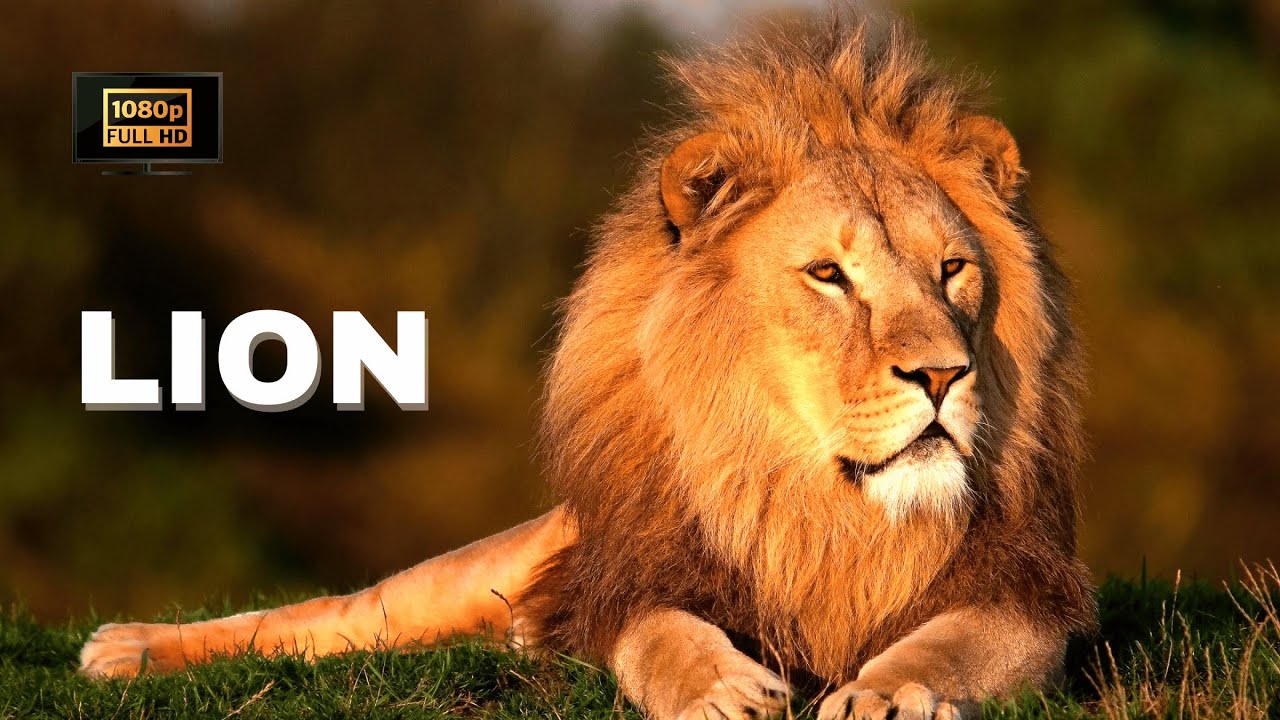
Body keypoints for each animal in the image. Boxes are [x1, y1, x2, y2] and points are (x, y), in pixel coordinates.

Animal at [79, 17, 1096, 720]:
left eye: (952, 269)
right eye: (828, 276)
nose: (943, 376)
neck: (819, 507)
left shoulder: (1025, 594)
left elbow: (951, 645)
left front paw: (888, 693)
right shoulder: (633, 581)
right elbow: (662, 636)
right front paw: (721, 688)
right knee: (336, 614)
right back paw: (123, 648)